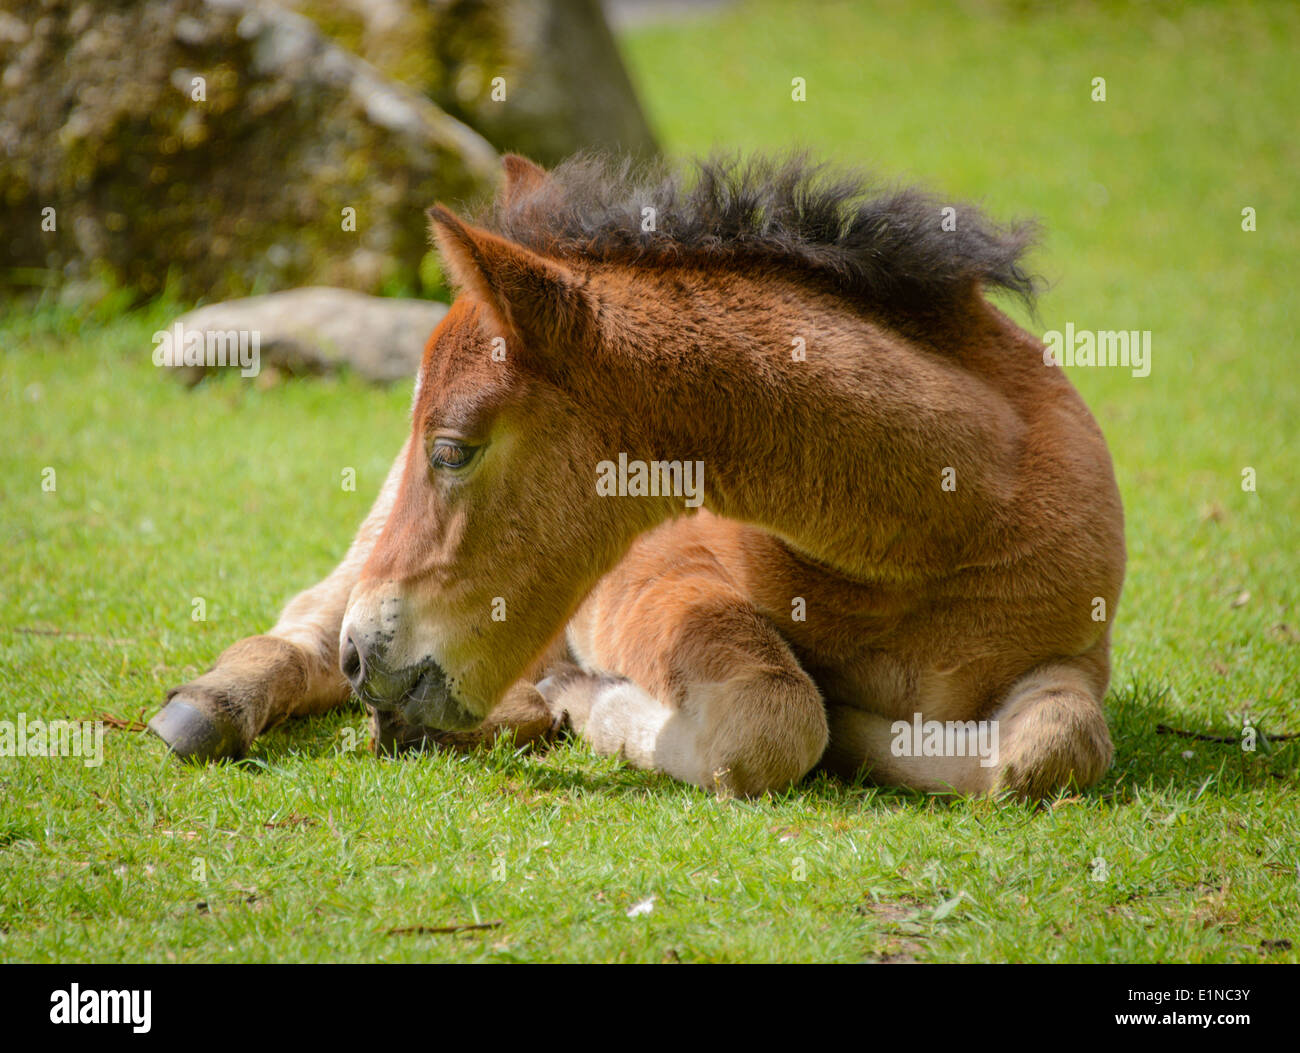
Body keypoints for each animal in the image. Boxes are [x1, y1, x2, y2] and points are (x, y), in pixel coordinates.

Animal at [150, 152, 1126, 798]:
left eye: (453, 448)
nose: (367, 657)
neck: (934, 534)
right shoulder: (657, 580)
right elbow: (775, 715)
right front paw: (609, 703)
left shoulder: (1073, 648)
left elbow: (1056, 745)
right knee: (309, 615)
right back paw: (214, 703)